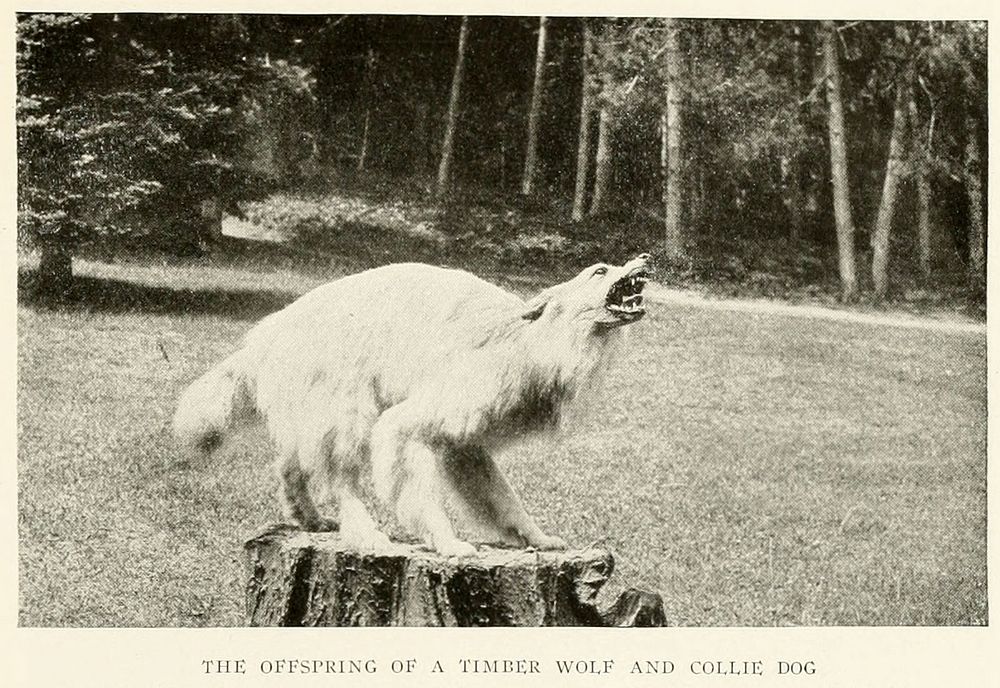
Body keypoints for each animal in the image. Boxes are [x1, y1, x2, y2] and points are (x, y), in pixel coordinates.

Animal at [173, 254, 652, 556]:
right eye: (600, 269)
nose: (646, 257)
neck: (530, 341)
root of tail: (266, 336)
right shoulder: (418, 417)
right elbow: (417, 483)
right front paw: (447, 542)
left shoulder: (467, 443)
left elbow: (501, 497)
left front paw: (535, 538)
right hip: (345, 404)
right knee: (341, 477)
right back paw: (362, 530)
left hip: (311, 411)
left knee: (291, 466)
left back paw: (308, 517)